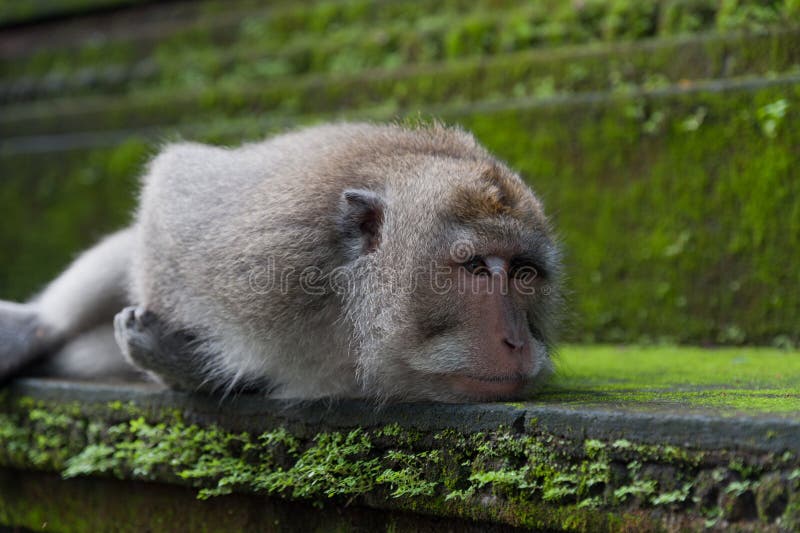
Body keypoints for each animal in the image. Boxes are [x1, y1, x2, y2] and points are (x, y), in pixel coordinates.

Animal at [0, 122, 562, 402]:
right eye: (475, 268)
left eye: (523, 273)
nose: (515, 340)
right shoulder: (264, 259)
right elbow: (173, 190)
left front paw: (182, 362)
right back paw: (38, 326)